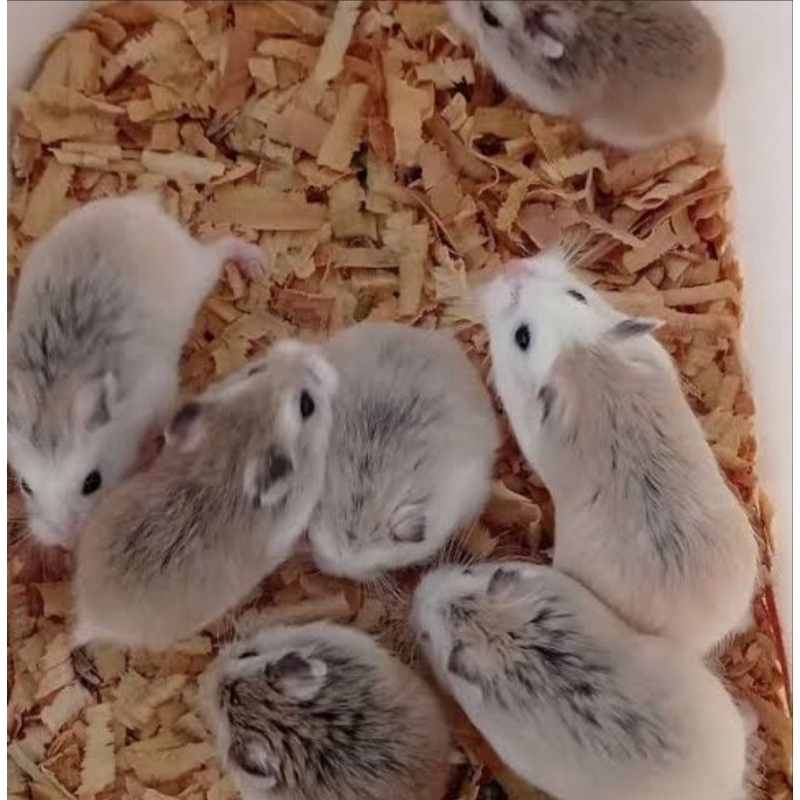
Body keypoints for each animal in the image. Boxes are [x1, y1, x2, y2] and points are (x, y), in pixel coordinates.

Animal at [7, 193, 266, 548]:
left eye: (92, 482)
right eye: (25, 486)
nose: (65, 541)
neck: (56, 390)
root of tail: (140, 203)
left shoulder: (160, 397)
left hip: (194, 270)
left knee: (222, 247)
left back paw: (255, 262)